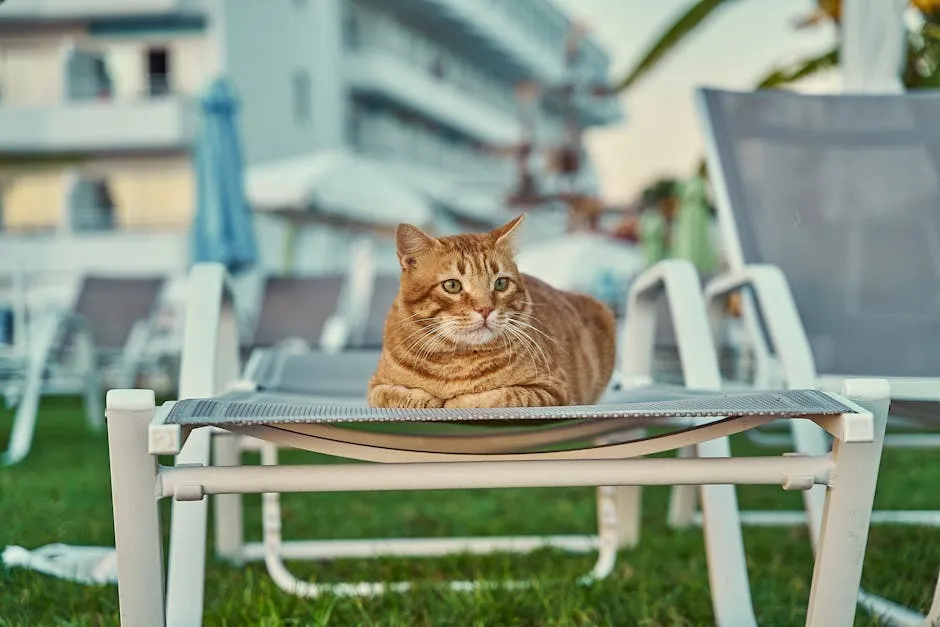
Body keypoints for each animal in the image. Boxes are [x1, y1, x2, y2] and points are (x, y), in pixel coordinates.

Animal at [368, 215, 616, 412]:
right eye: (452, 286)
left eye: (500, 283)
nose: (485, 309)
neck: (456, 363)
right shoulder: (375, 386)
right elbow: (394, 395)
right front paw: (428, 398)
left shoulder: (553, 390)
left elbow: (500, 396)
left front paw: (456, 401)